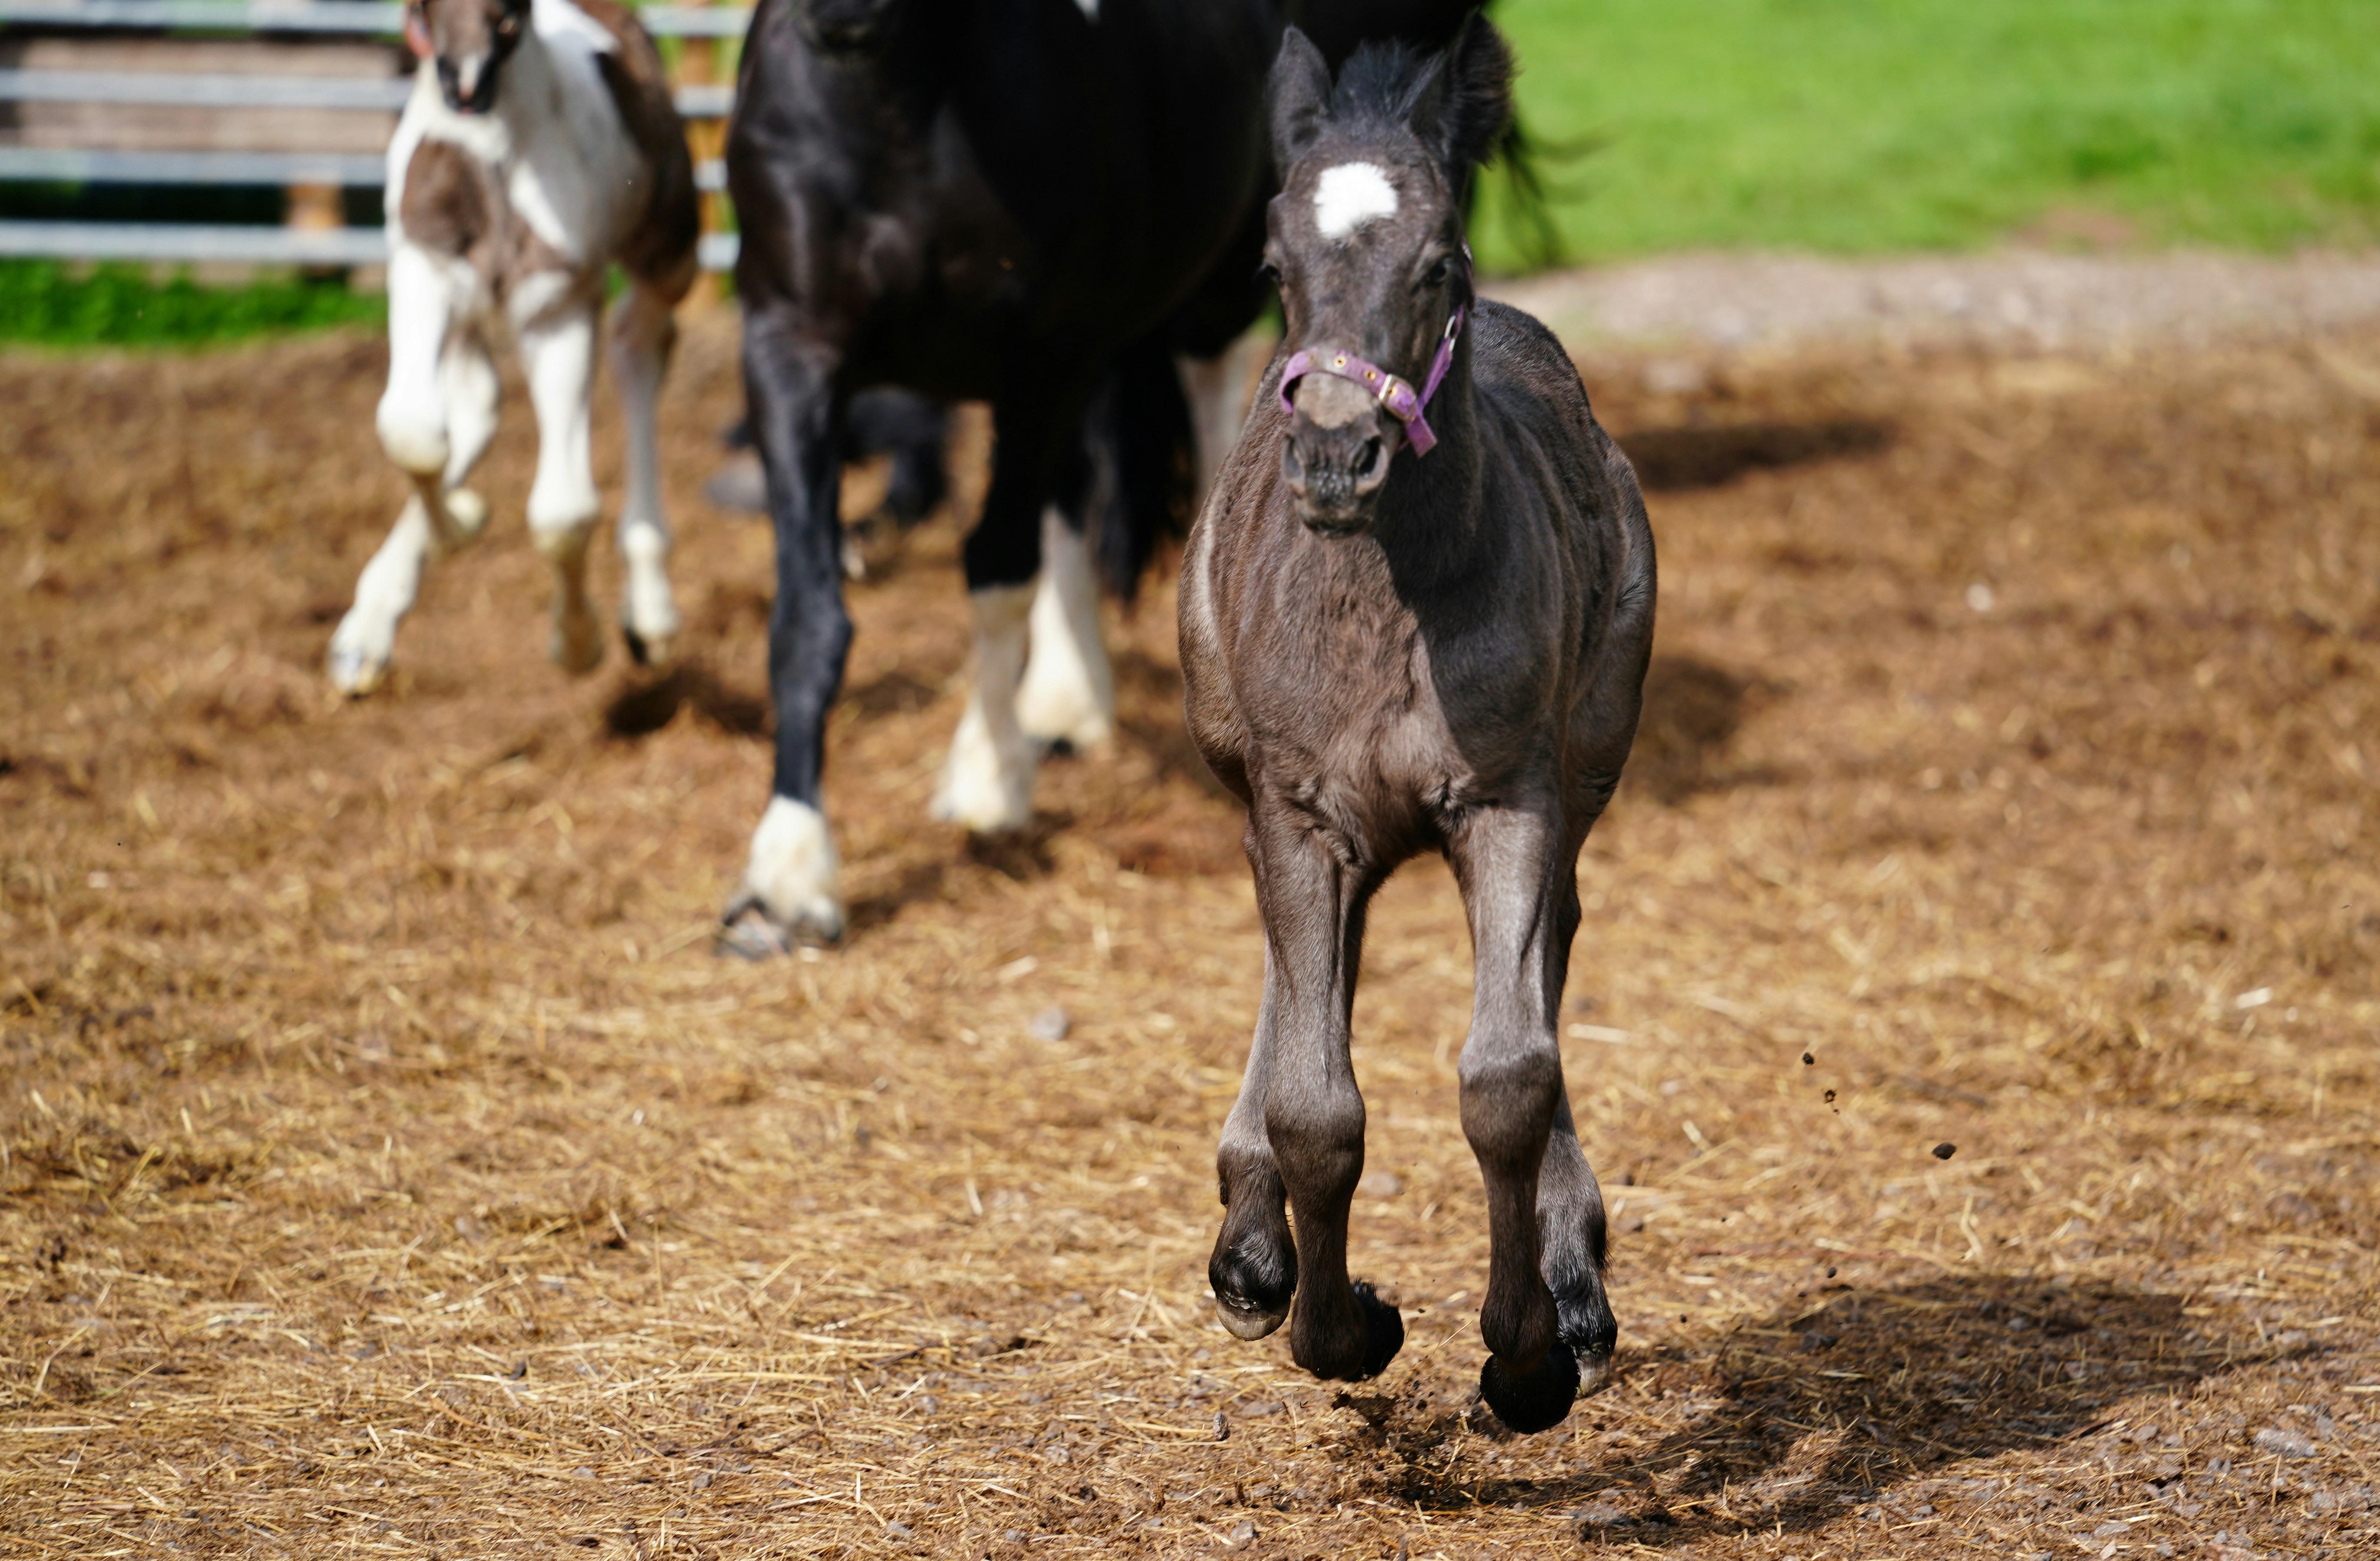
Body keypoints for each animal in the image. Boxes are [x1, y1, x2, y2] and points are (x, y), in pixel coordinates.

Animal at [328, 0, 698, 697]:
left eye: (506, 19)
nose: (465, 86)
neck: (492, 152)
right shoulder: (425, 265)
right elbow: (412, 431)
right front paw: (464, 520)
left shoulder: (558, 307)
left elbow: (563, 512)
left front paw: (578, 644)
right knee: (474, 408)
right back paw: (365, 631)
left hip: (670, 250)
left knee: (640, 343)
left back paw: (650, 610)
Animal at [716, 0, 1276, 953]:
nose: (837, 11)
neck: (897, 105)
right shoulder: (790, 347)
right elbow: (806, 619)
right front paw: (785, 875)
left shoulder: (1040, 358)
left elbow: (996, 572)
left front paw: (987, 777)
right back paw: (1063, 700)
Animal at [1178, 19, 1657, 1434]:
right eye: (1273, 266)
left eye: (1438, 262)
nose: (1337, 459)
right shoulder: (1295, 812)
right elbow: (1315, 1108)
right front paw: (1335, 1324)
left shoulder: (1506, 798)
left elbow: (1505, 1077)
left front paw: (1527, 1353)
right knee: (1297, 977)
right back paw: (1250, 1241)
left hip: (1585, 765)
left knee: (1551, 947)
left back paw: (1570, 1274)